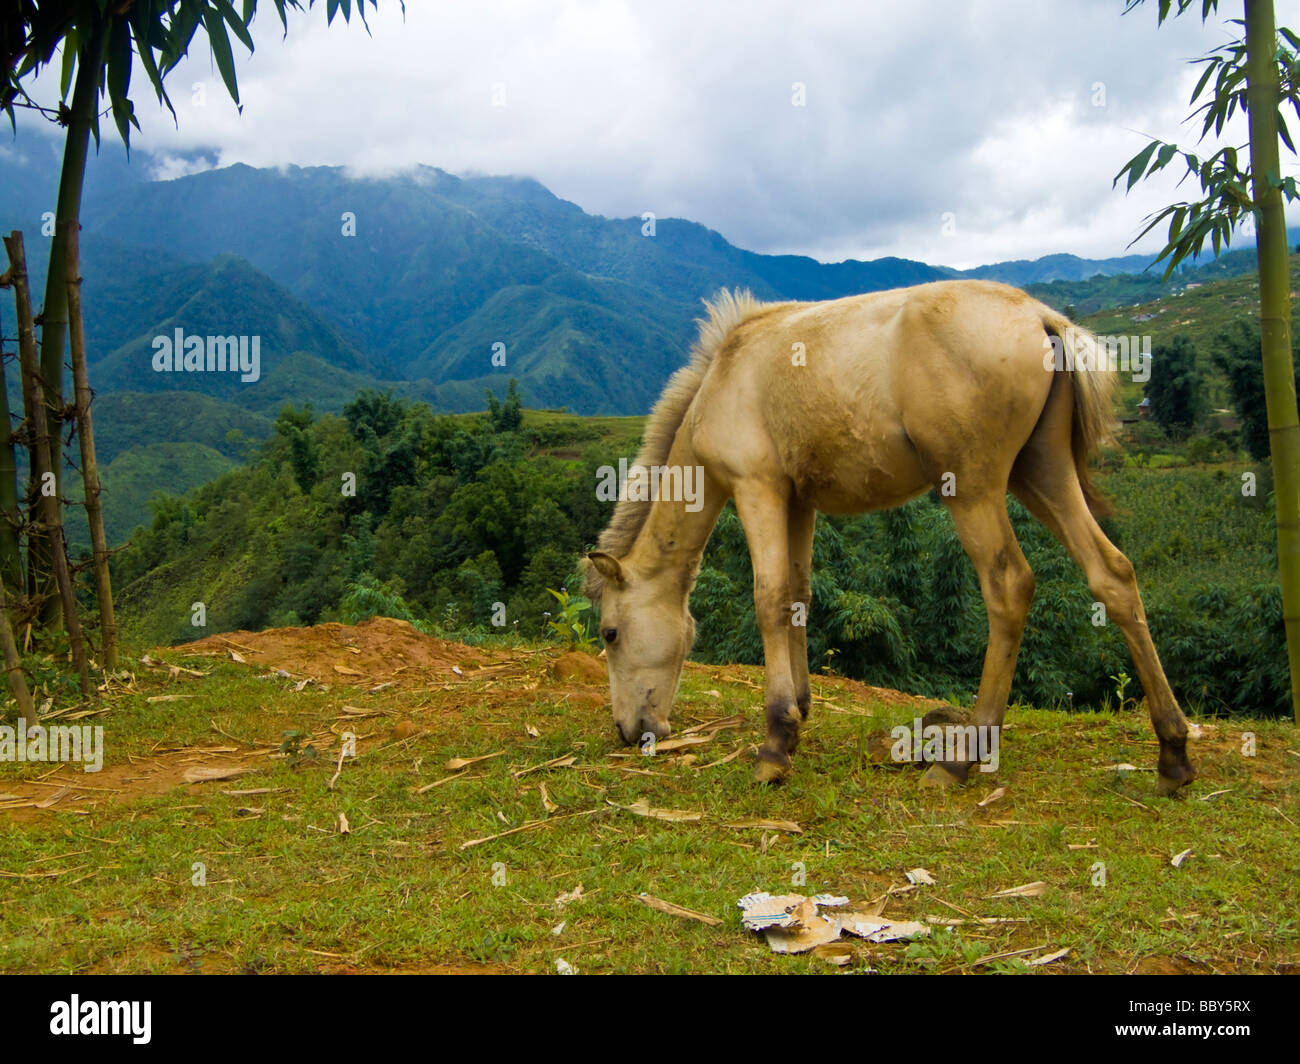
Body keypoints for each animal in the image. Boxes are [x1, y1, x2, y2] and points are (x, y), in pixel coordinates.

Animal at [584, 280, 1196, 795]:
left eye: (611, 634)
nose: (629, 730)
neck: (725, 377)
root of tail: (1040, 316)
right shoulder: (799, 502)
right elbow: (799, 597)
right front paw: (799, 713)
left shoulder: (758, 491)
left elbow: (770, 600)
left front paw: (776, 744)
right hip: (1043, 472)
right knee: (1112, 573)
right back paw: (1172, 753)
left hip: (973, 489)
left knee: (1010, 587)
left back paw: (961, 759)